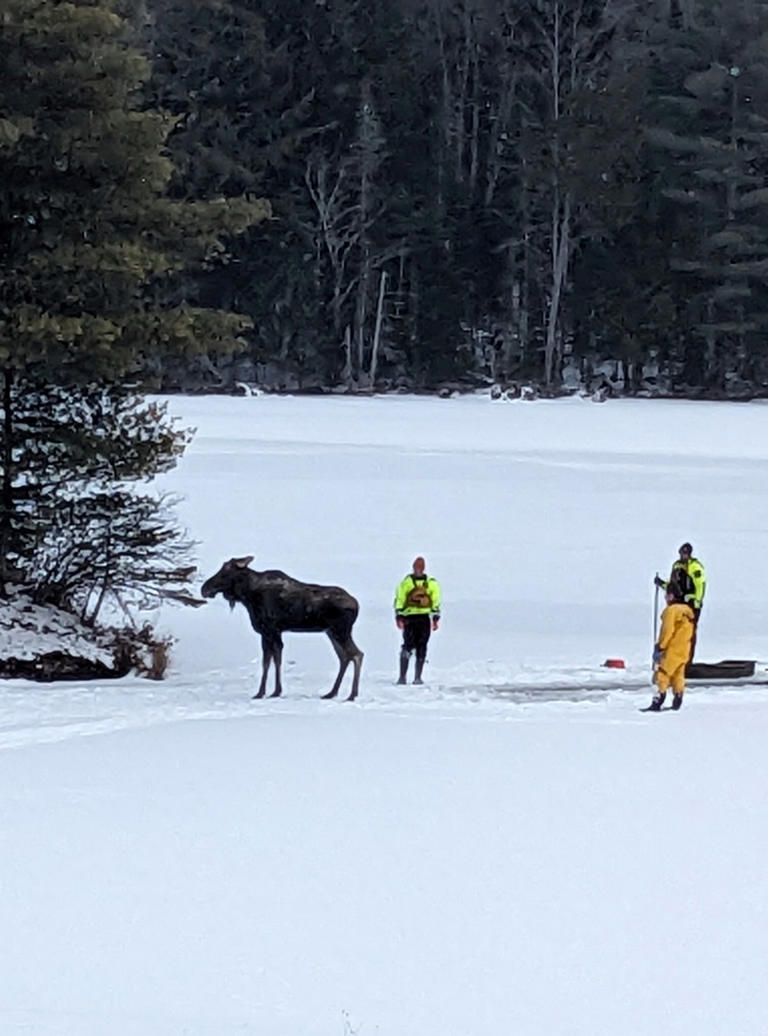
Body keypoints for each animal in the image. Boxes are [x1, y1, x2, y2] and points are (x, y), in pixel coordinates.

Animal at [200, 556, 363, 701]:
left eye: (224, 573)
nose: (204, 589)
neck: (248, 595)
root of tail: (356, 605)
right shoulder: (273, 632)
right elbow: (274, 660)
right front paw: (273, 691)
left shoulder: (268, 630)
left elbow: (268, 662)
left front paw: (264, 693)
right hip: (331, 632)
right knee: (344, 657)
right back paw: (331, 693)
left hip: (340, 631)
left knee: (357, 654)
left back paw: (351, 695)